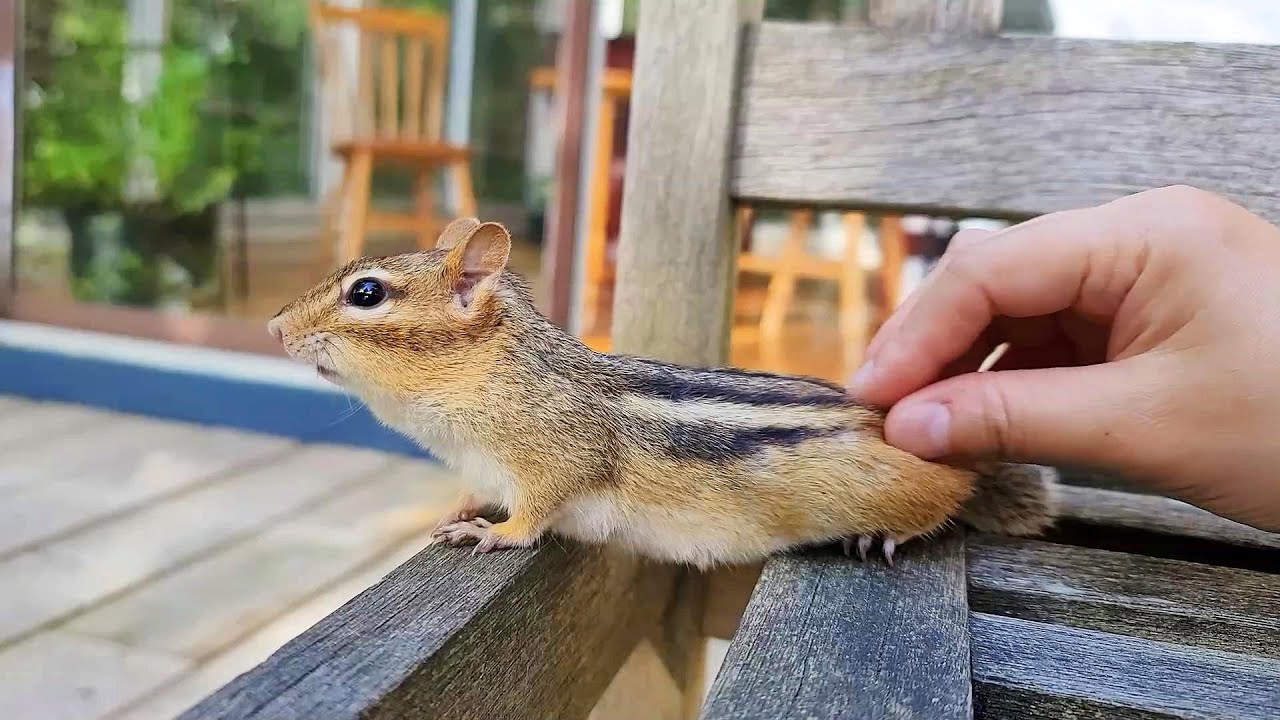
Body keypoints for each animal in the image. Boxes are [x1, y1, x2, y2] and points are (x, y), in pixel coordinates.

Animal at [267, 218, 1058, 568]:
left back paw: (887, 531)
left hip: (911, 480)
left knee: (947, 495)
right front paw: (461, 507)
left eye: (367, 294)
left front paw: (492, 532)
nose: (273, 326)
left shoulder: (556, 458)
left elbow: (539, 512)